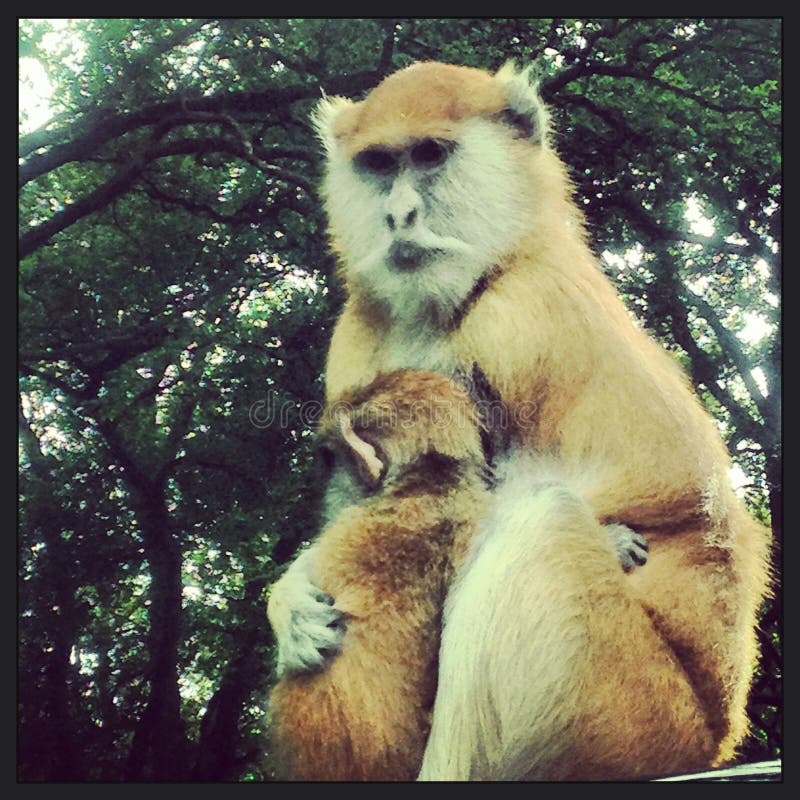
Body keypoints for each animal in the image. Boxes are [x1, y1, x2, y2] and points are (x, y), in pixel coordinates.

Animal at [267, 62, 771, 780]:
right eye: (377, 164)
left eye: (430, 154)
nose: (398, 216)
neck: (503, 257)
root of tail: (716, 732)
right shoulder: (357, 335)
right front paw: (288, 601)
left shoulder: (520, 317)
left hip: (625, 713)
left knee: (544, 523)